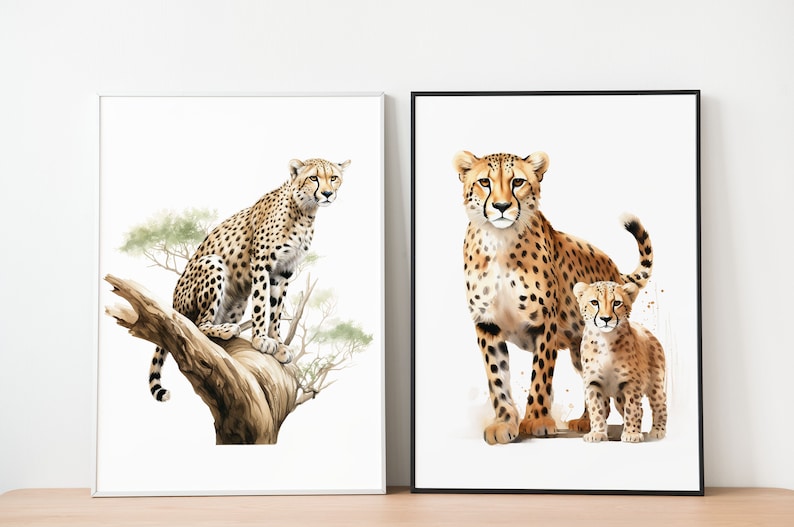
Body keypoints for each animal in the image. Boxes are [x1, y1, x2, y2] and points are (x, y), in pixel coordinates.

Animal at [148, 158, 350, 401]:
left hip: (238, 300)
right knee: (198, 324)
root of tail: (173, 305)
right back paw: (227, 330)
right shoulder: (261, 264)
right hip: (212, 263)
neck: (303, 210)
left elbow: (276, 311)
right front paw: (261, 340)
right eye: (313, 178)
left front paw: (278, 344)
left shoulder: (284, 272)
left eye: (334, 177)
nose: (328, 193)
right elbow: (261, 306)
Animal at [452, 150, 653, 444]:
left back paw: (591, 423)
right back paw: (589, 422)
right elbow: (497, 377)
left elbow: (540, 375)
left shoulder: (544, 324)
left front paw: (536, 420)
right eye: (485, 182)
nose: (501, 206)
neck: (500, 240)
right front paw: (504, 423)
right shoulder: (487, 324)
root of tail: (613, 269)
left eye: (518, 182)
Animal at [573, 280, 667, 442]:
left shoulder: (631, 383)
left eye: (617, 303)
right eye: (594, 302)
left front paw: (631, 433)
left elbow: (632, 408)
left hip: (655, 385)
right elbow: (596, 409)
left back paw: (658, 431)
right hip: (618, 397)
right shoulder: (593, 383)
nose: (605, 319)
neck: (605, 338)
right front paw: (597, 432)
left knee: (660, 405)